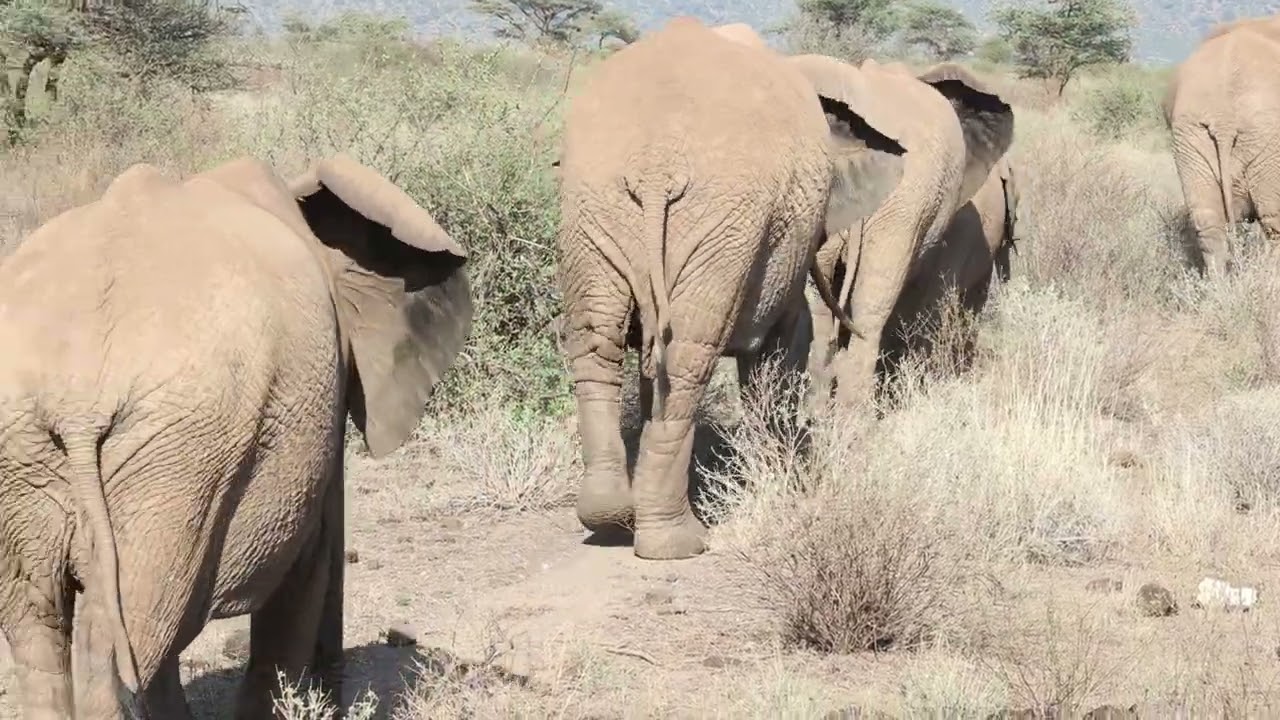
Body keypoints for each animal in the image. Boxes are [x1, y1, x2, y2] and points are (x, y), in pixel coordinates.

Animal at [0, 153, 472, 718]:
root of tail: (76, 403)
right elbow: (312, 562)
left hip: (47, 449)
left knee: (44, 626)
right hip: (182, 460)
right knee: (126, 635)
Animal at [554, 16, 909, 560]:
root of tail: (656, 165)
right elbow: (783, 348)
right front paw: (786, 480)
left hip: (595, 204)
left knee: (599, 342)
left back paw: (610, 517)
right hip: (722, 217)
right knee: (685, 357)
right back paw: (678, 543)